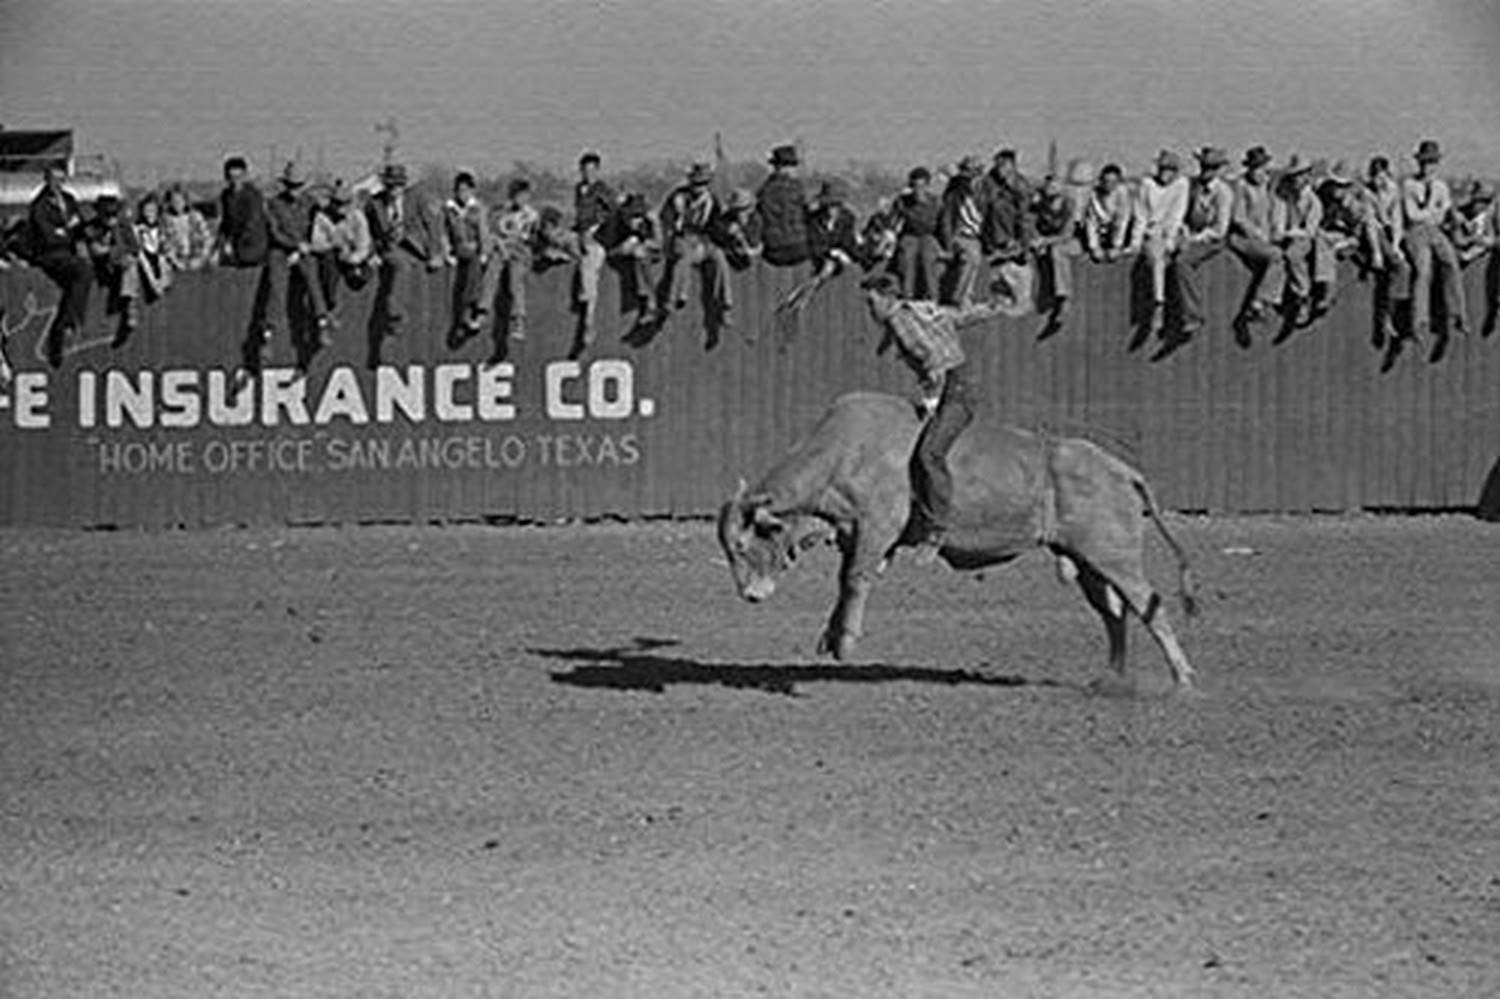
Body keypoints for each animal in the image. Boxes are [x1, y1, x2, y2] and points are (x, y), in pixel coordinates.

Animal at [716, 391, 1199, 688]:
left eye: (742, 547)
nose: (749, 595)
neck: (846, 451)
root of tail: (1123, 470)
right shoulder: (854, 534)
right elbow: (847, 580)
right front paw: (829, 637)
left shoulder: (876, 528)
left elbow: (854, 578)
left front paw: (845, 641)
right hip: (1086, 562)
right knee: (1114, 613)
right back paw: (1113, 679)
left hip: (1115, 557)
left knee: (1148, 604)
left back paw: (1183, 679)